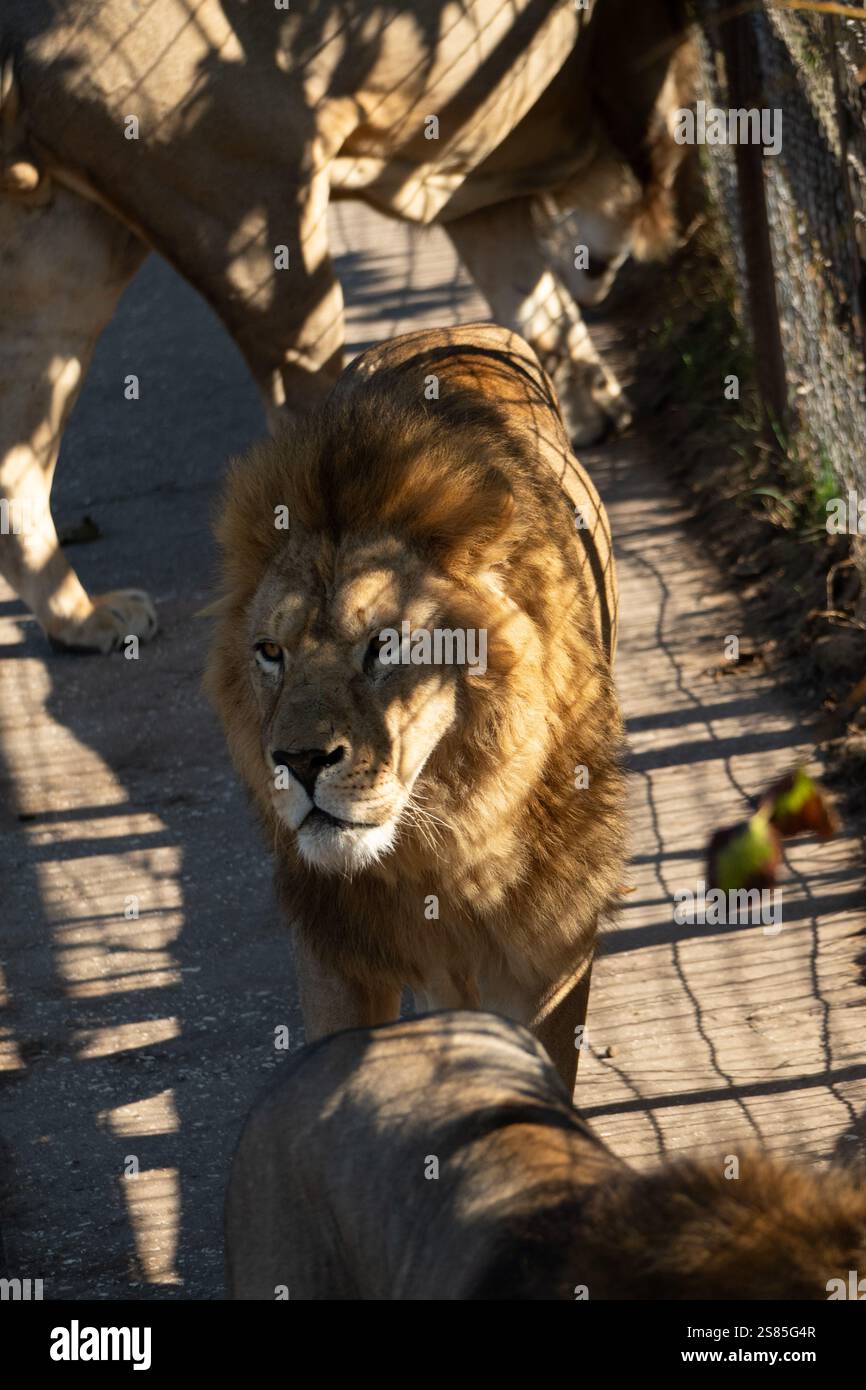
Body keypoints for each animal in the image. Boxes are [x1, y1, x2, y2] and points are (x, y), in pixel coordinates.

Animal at [0, 0, 694, 651]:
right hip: (263, 222)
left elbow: (538, 308)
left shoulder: (481, 199)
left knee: (17, 471)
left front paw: (592, 408)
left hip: (65, 256)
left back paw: (83, 618)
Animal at [206, 323, 627, 1094]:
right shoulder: (335, 948)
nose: (298, 761)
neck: (440, 843)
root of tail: (447, 328)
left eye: (384, 645)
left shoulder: (550, 954)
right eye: (270, 652)